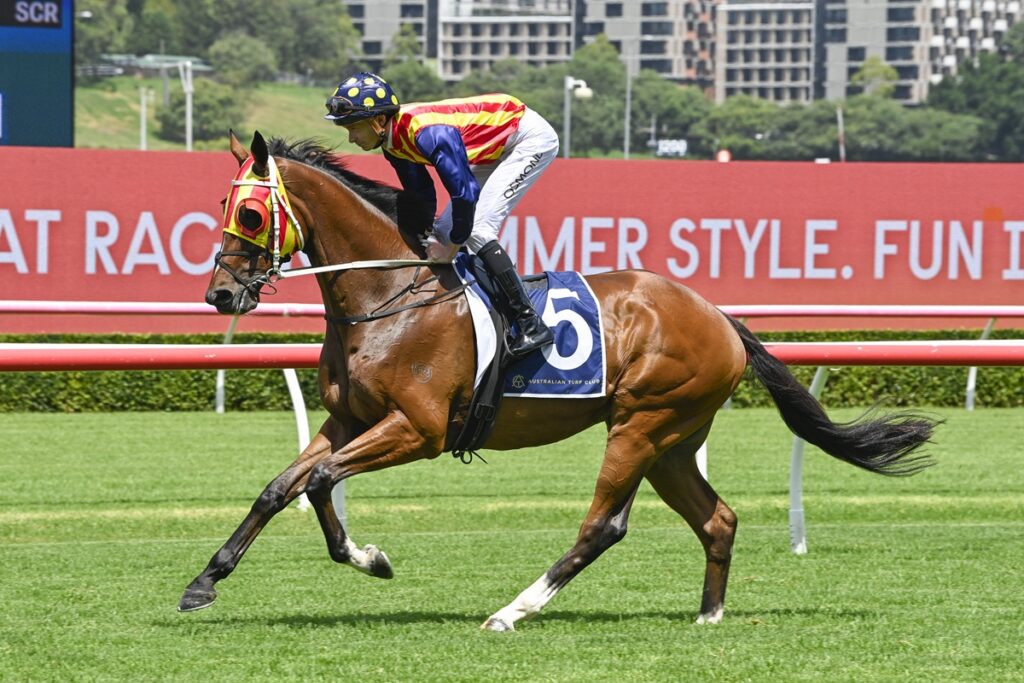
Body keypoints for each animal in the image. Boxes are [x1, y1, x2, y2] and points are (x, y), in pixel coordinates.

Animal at [183, 131, 938, 631]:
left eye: (250, 212)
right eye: (221, 203)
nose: (220, 295)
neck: (389, 295)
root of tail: (720, 317)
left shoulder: (417, 429)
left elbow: (317, 482)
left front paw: (370, 556)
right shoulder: (350, 420)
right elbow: (280, 486)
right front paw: (203, 581)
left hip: (642, 423)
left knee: (603, 524)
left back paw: (512, 610)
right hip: (673, 438)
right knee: (716, 518)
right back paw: (709, 616)